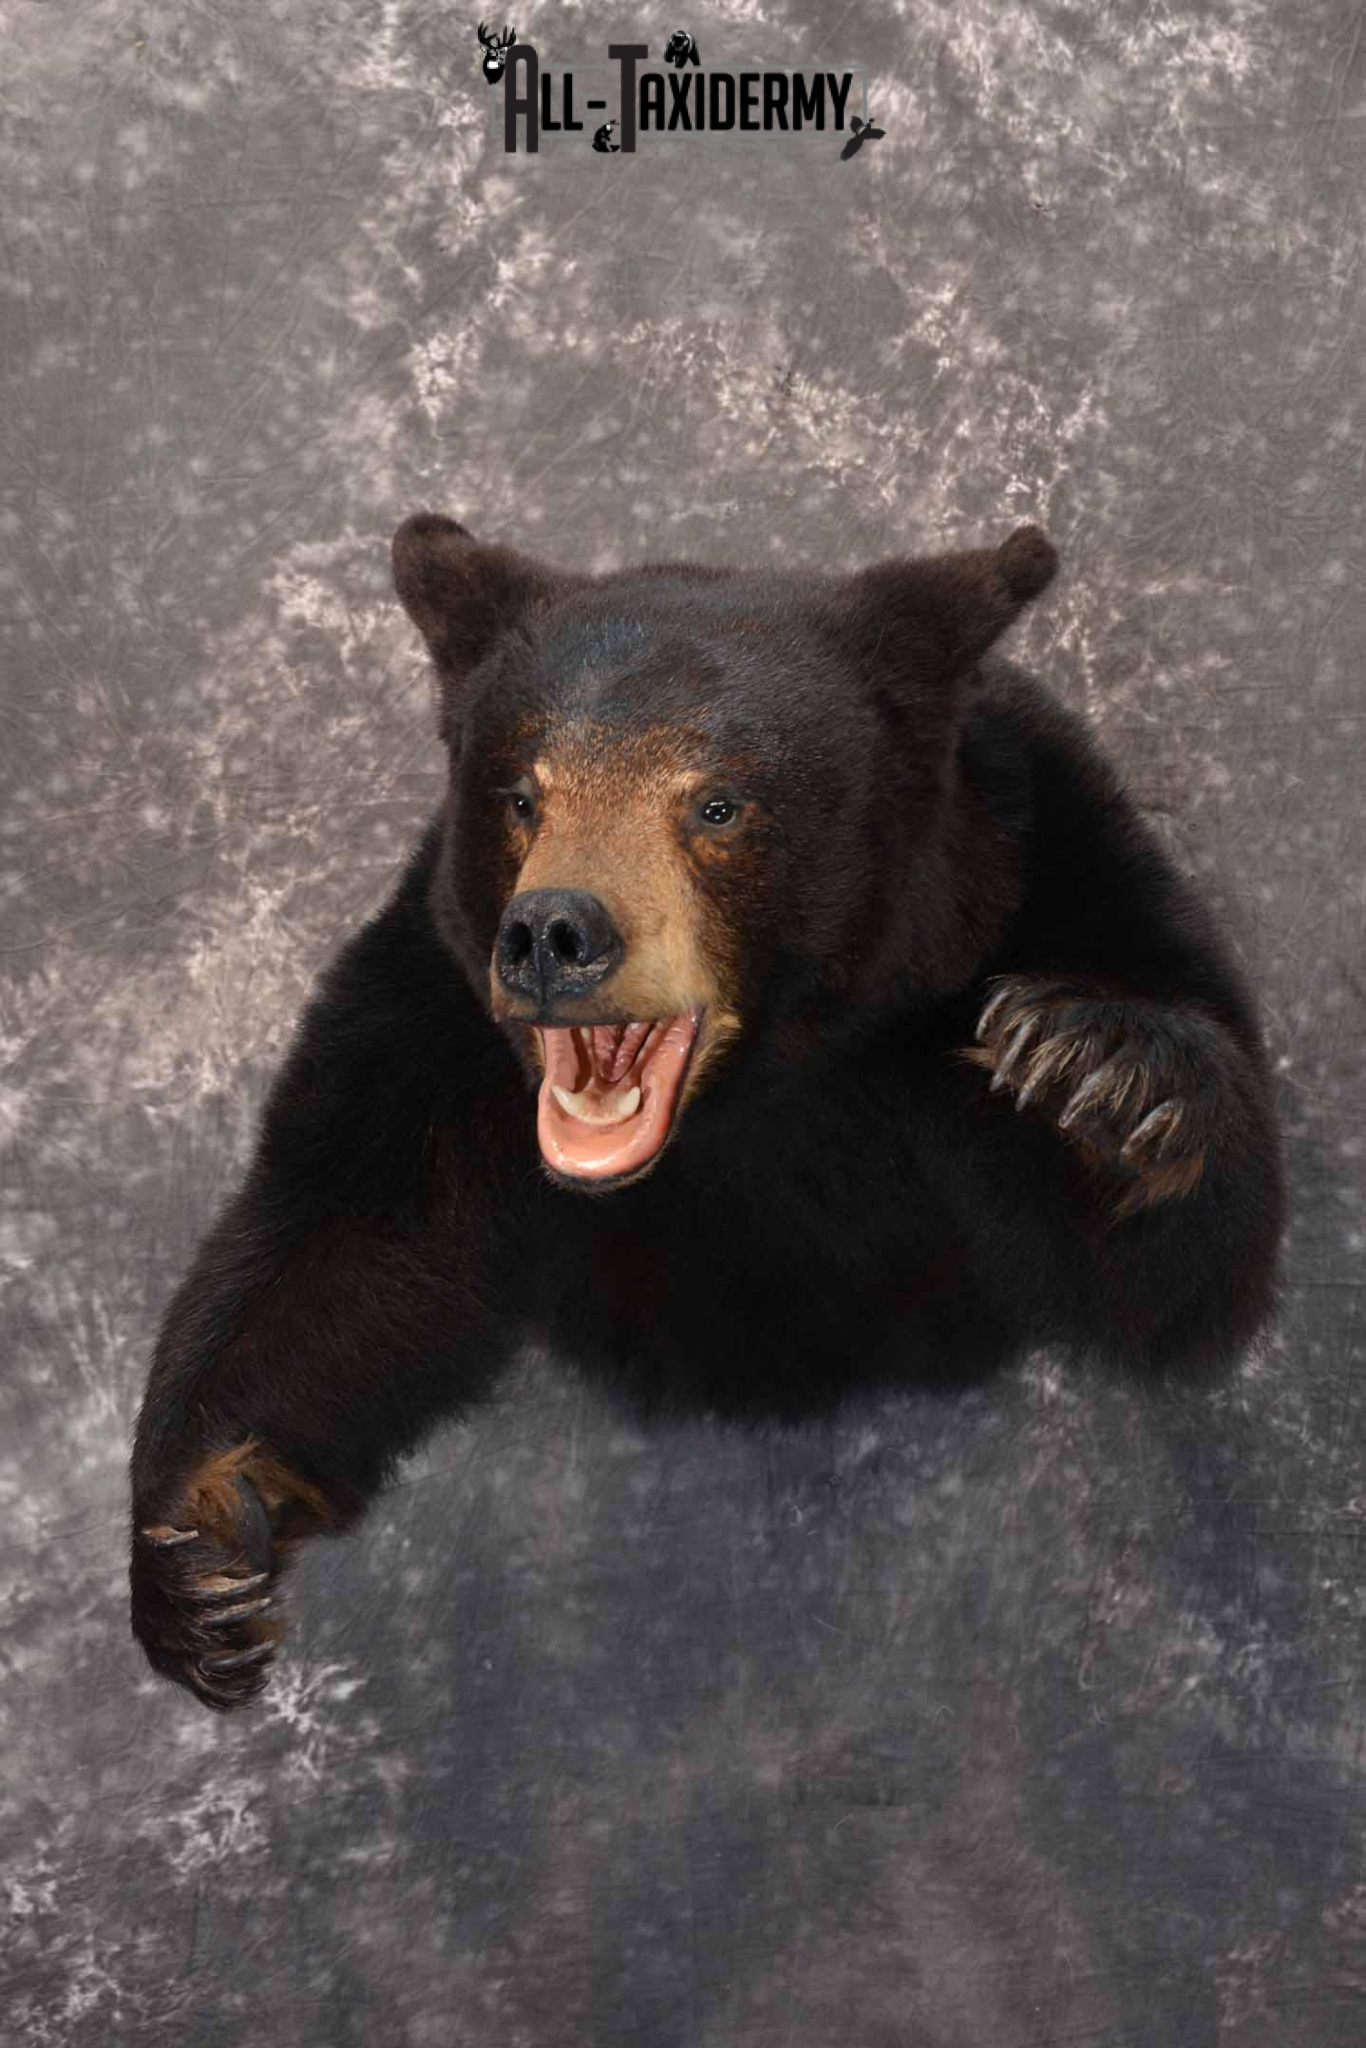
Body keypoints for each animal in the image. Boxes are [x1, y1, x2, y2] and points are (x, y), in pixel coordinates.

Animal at [129, 512, 1285, 1711]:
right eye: (522, 794)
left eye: (717, 803)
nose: (551, 935)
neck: (772, 1088)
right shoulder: (436, 1009)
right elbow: (348, 1234)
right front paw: (199, 1546)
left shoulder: (1057, 871)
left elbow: (1192, 1275)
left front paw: (1096, 1072)